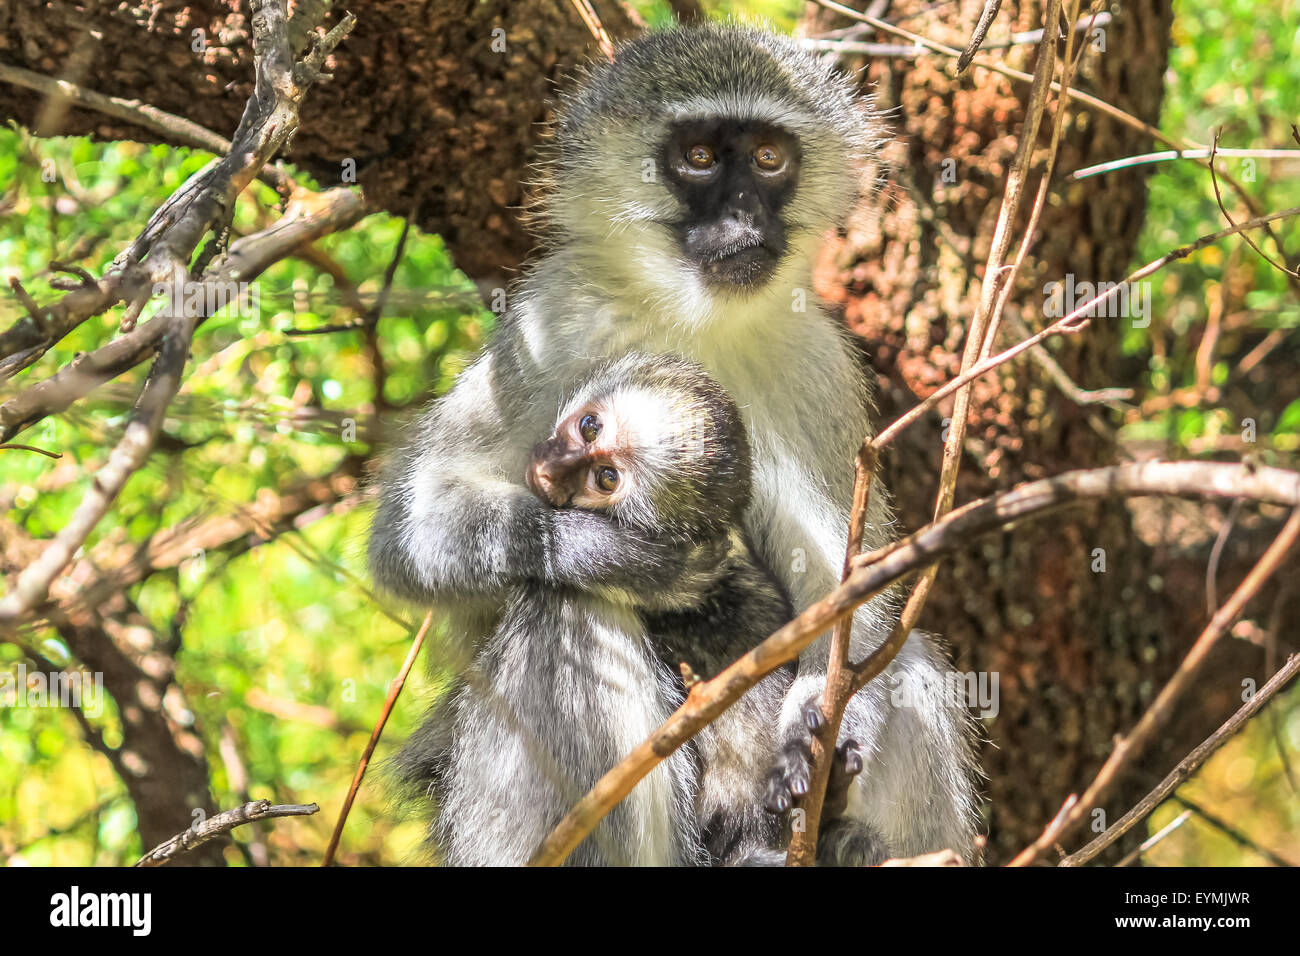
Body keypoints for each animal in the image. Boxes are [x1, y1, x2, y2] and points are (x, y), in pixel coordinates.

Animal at [372, 23, 979, 865]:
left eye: (768, 158)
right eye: (697, 157)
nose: (745, 221)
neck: (694, 316)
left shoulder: (819, 365)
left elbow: (848, 589)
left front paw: (822, 720)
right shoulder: (548, 325)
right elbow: (411, 528)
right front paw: (629, 558)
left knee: (909, 658)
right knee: (567, 612)